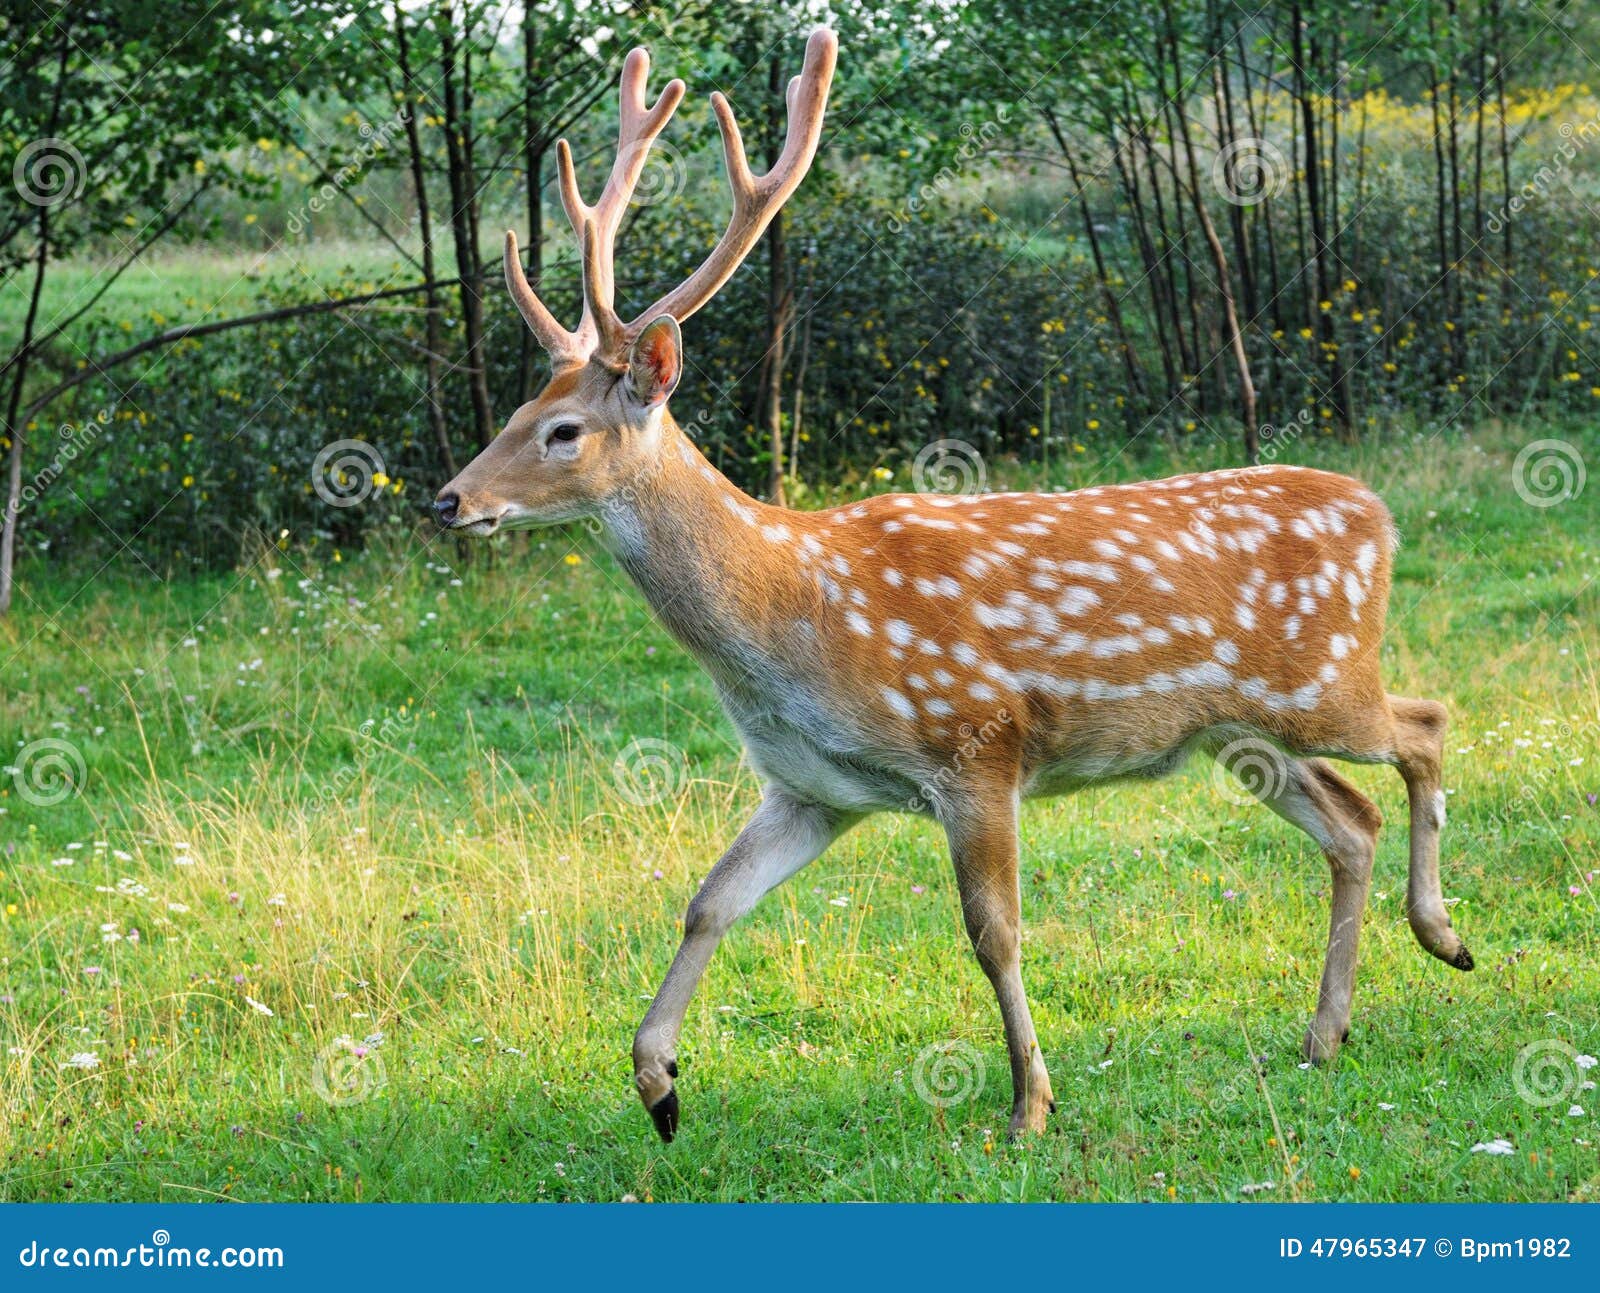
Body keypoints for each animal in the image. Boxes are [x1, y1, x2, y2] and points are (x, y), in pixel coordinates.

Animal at [433, 27, 1471, 1143]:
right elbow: (710, 899)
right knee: (1349, 821)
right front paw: (659, 1084)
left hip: (1322, 679)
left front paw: (1028, 1105)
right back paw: (1326, 1033)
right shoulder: (811, 785)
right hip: (1235, 729)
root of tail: (1377, 511)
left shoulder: (975, 743)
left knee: (1425, 724)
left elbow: (992, 934)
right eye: (513, 410)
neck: (789, 623)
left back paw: (1442, 934)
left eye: (563, 429)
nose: (449, 500)